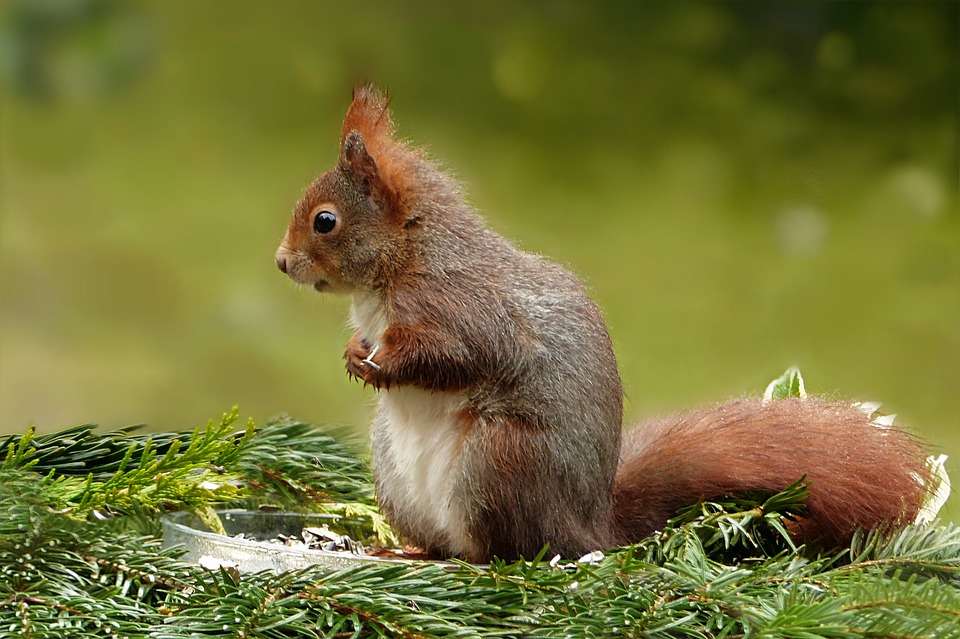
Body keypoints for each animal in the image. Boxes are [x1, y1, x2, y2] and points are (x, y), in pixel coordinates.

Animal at [275, 85, 936, 563]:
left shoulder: (462, 308)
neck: (402, 261)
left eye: (325, 221)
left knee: (502, 551)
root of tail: (589, 529)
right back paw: (404, 549)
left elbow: (454, 356)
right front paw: (354, 353)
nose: (281, 263)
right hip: (396, 468)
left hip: (499, 458)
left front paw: (379, 364)